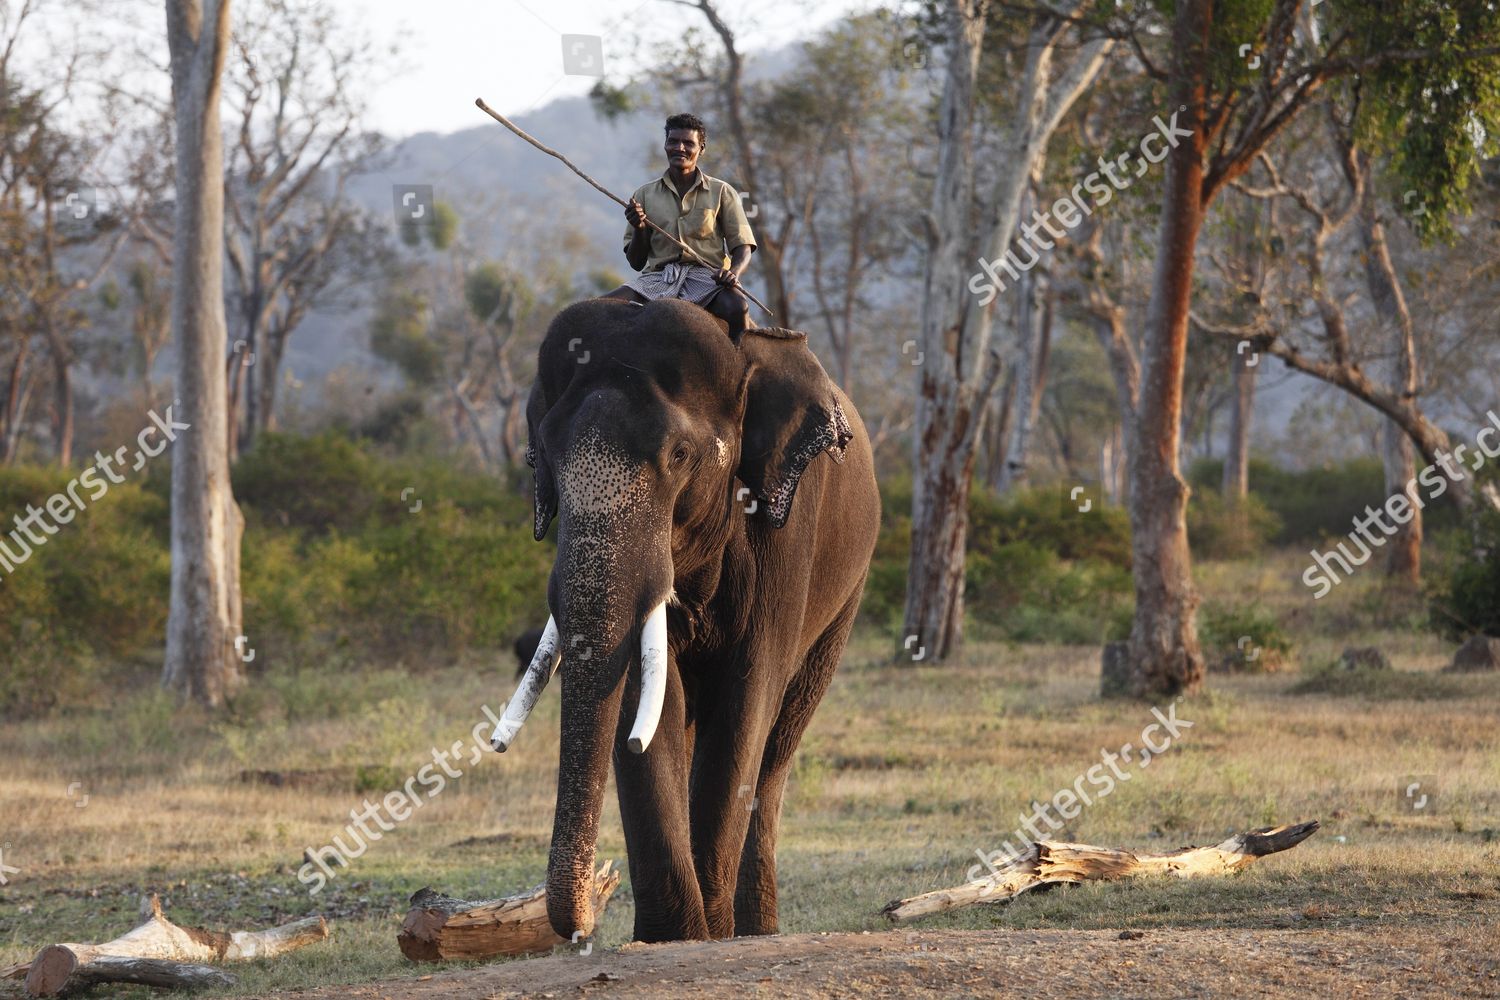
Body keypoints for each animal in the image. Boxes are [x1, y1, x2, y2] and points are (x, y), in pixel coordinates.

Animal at [490, 297, 880, 944]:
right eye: (543, 455)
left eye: (678, 456)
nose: (582, 926)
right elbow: (645, 701)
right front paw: (672, 938)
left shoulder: (784, 533)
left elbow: (748, 696)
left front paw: (709, 936)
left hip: (848, 593)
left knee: (778, 747)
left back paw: (755, 931)